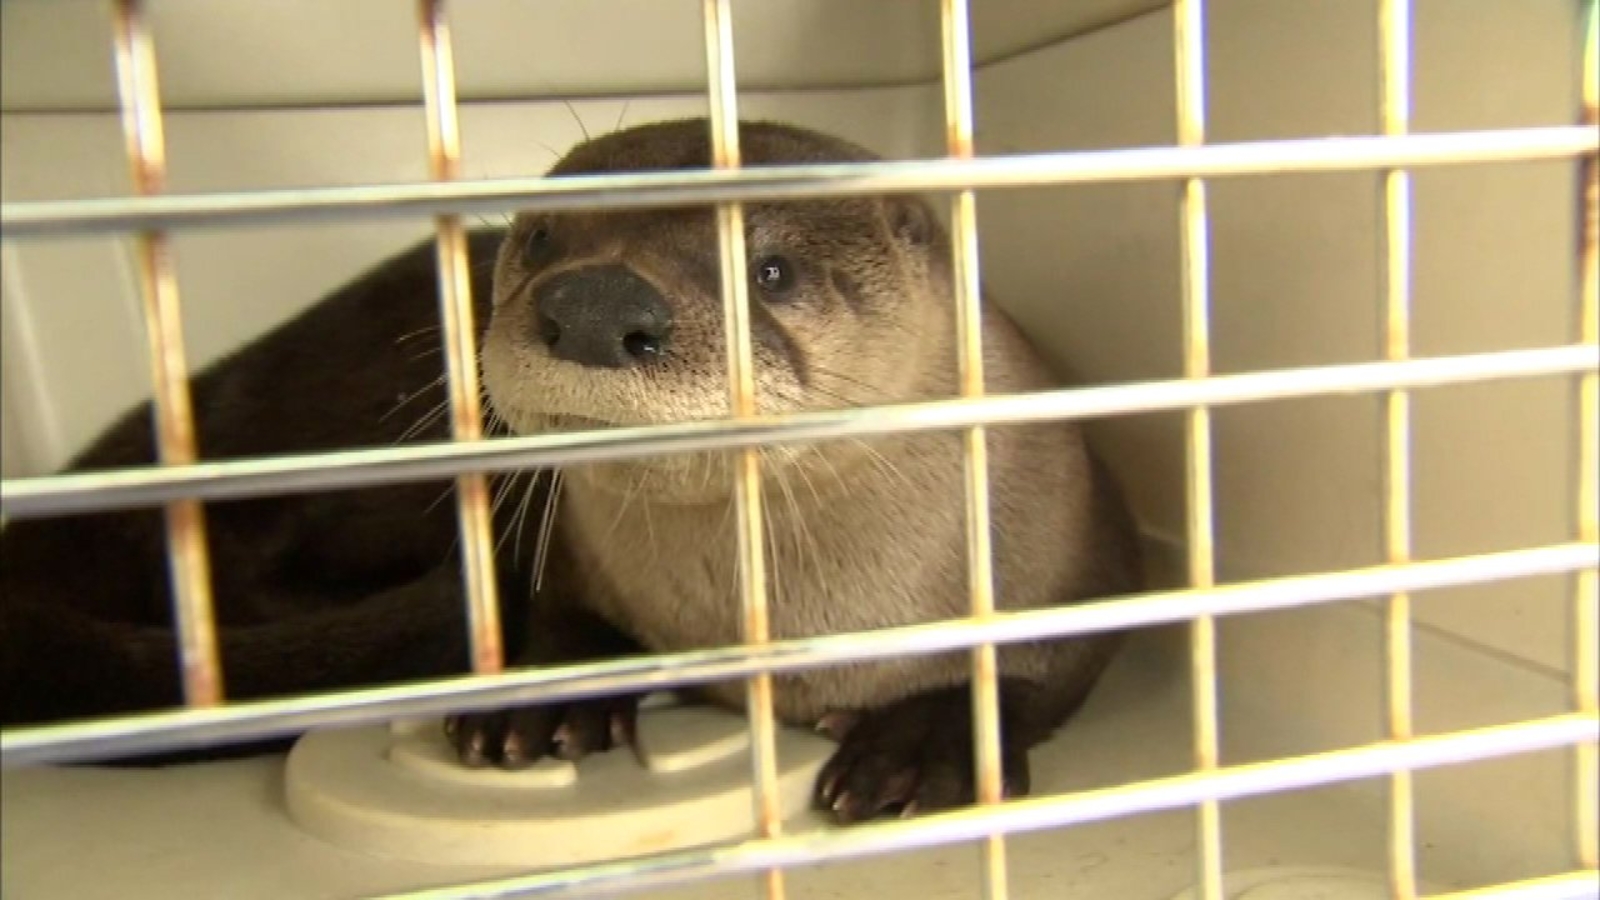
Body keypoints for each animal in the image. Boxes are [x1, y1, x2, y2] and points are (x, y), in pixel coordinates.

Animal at [0, 117, 1142, 823]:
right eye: (545, 234)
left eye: (768, 268)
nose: (593, 303)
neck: (784, 632)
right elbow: (559, 610)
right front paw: (538, 704)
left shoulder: (1077, 545)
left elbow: (1038, 667)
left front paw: (922, 746)